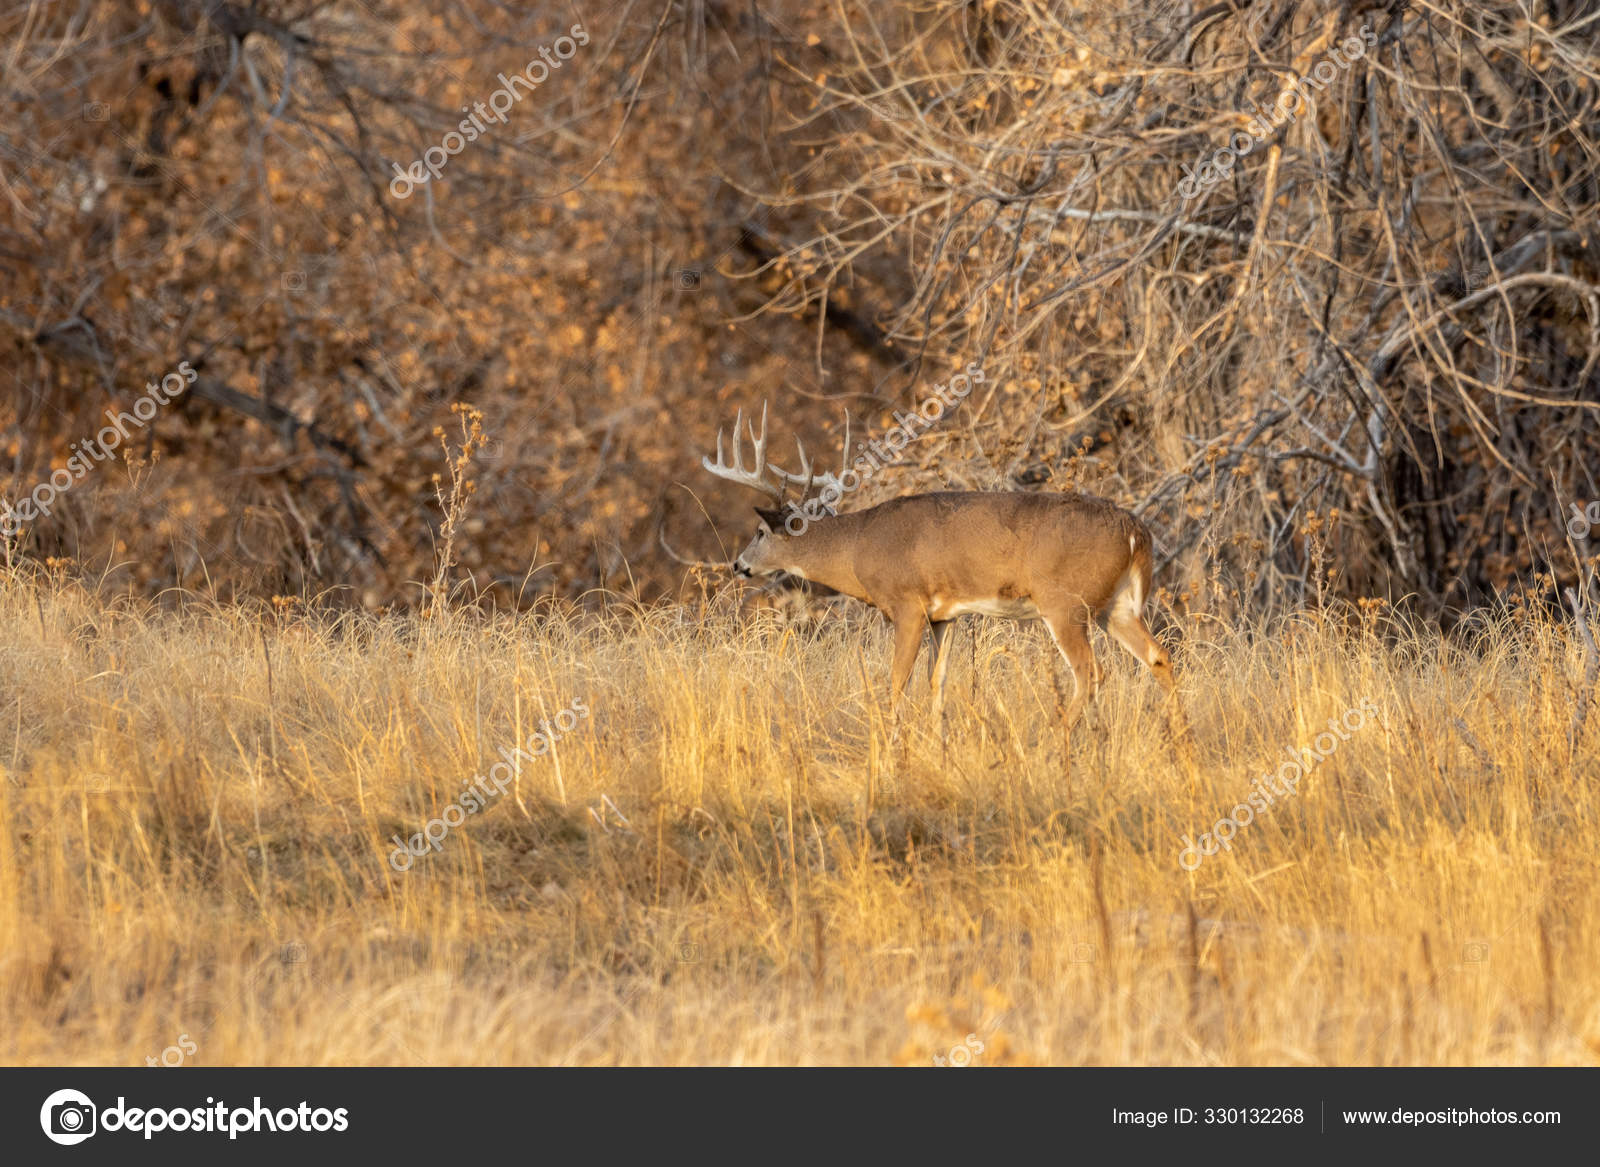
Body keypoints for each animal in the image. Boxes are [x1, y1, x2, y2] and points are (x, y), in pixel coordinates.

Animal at [701, 403, 1181, 743]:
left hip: (1064, 604)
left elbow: (897, 681)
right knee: (1158, 656)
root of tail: (1136, 531)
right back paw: (1177, 740)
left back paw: (1055, 739)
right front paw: (939, 745)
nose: (738, 564)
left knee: (1090, 671)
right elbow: (937, 681)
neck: (857, 546)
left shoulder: (907, 604)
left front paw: (894, 746)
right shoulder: (944, 615)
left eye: (760, 532)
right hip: (1115, 606)